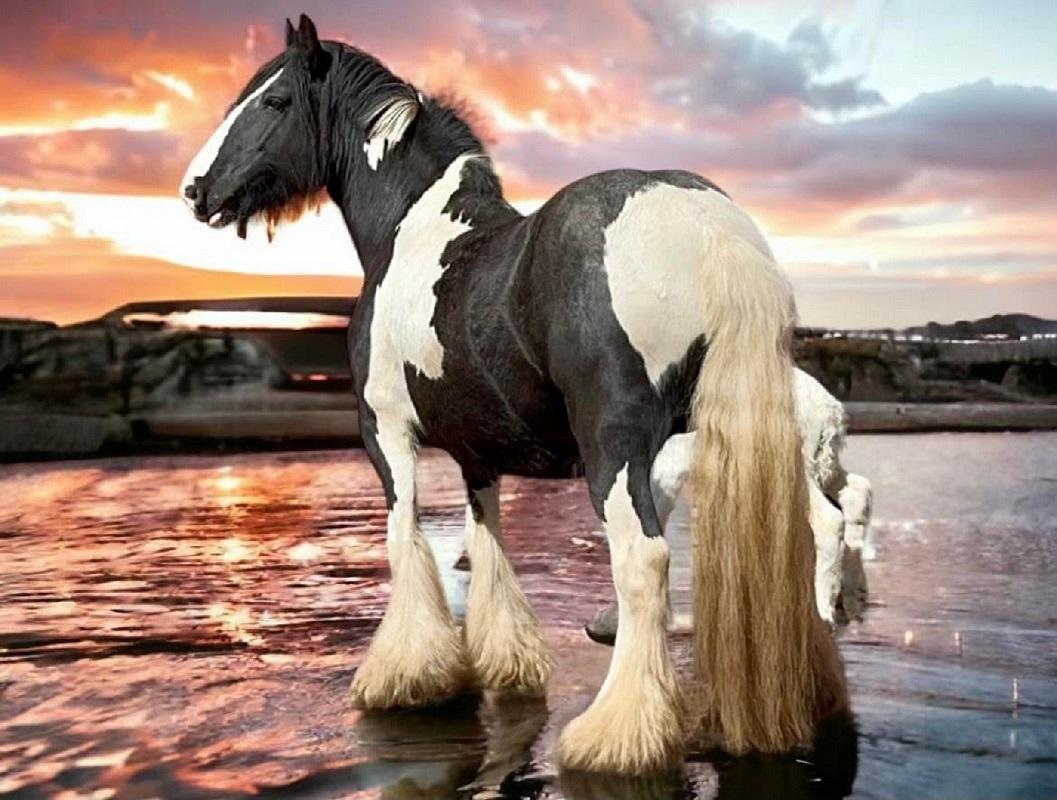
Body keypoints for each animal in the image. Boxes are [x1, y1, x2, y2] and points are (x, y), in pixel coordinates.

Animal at [180, 14, 846, 773]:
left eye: (275, 100)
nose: (196, 190)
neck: (412, 231)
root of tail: (703, 225)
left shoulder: (384, 432)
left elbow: (404, 539)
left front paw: (406, 676)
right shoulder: (478, 450)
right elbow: (486, 542)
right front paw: (507, 662)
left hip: (615, 447)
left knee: (643, 560)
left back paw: (615, 737)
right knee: (812, 535)